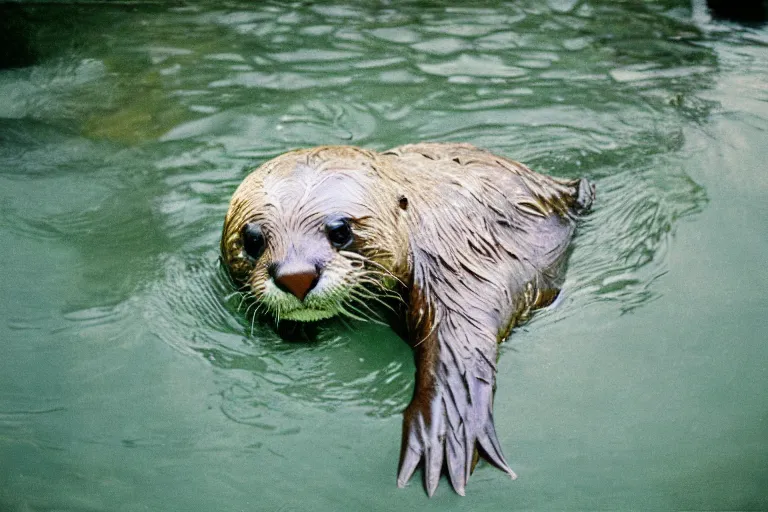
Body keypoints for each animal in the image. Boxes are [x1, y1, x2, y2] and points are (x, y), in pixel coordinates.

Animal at [220, 143, 594, 496]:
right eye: (253, 239)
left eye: (340, 230)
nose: (296, 276)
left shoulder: (457, 269)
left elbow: (459, 354)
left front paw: (442, 428)